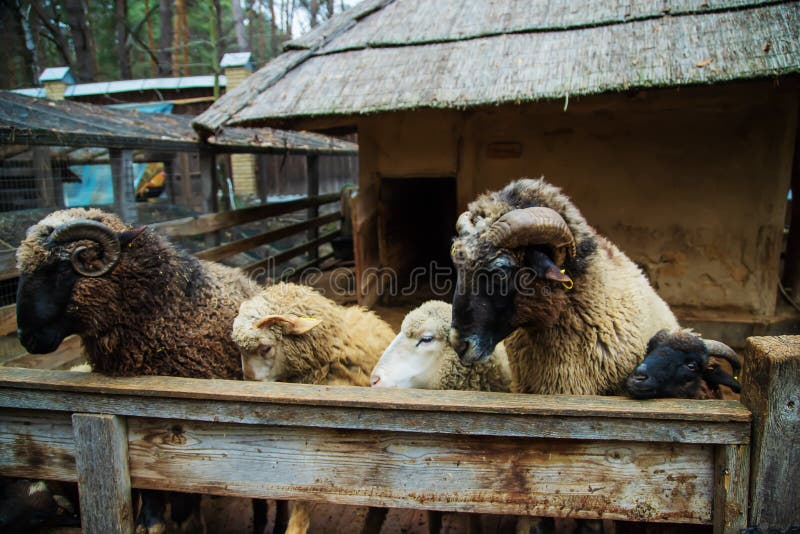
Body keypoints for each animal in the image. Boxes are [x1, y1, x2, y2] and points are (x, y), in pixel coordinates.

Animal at [15, 208, 261, 534]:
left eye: (63, 270)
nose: (25, 337)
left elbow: (183, 496)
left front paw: (180, 520)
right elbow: (149, 487)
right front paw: (151, 520)